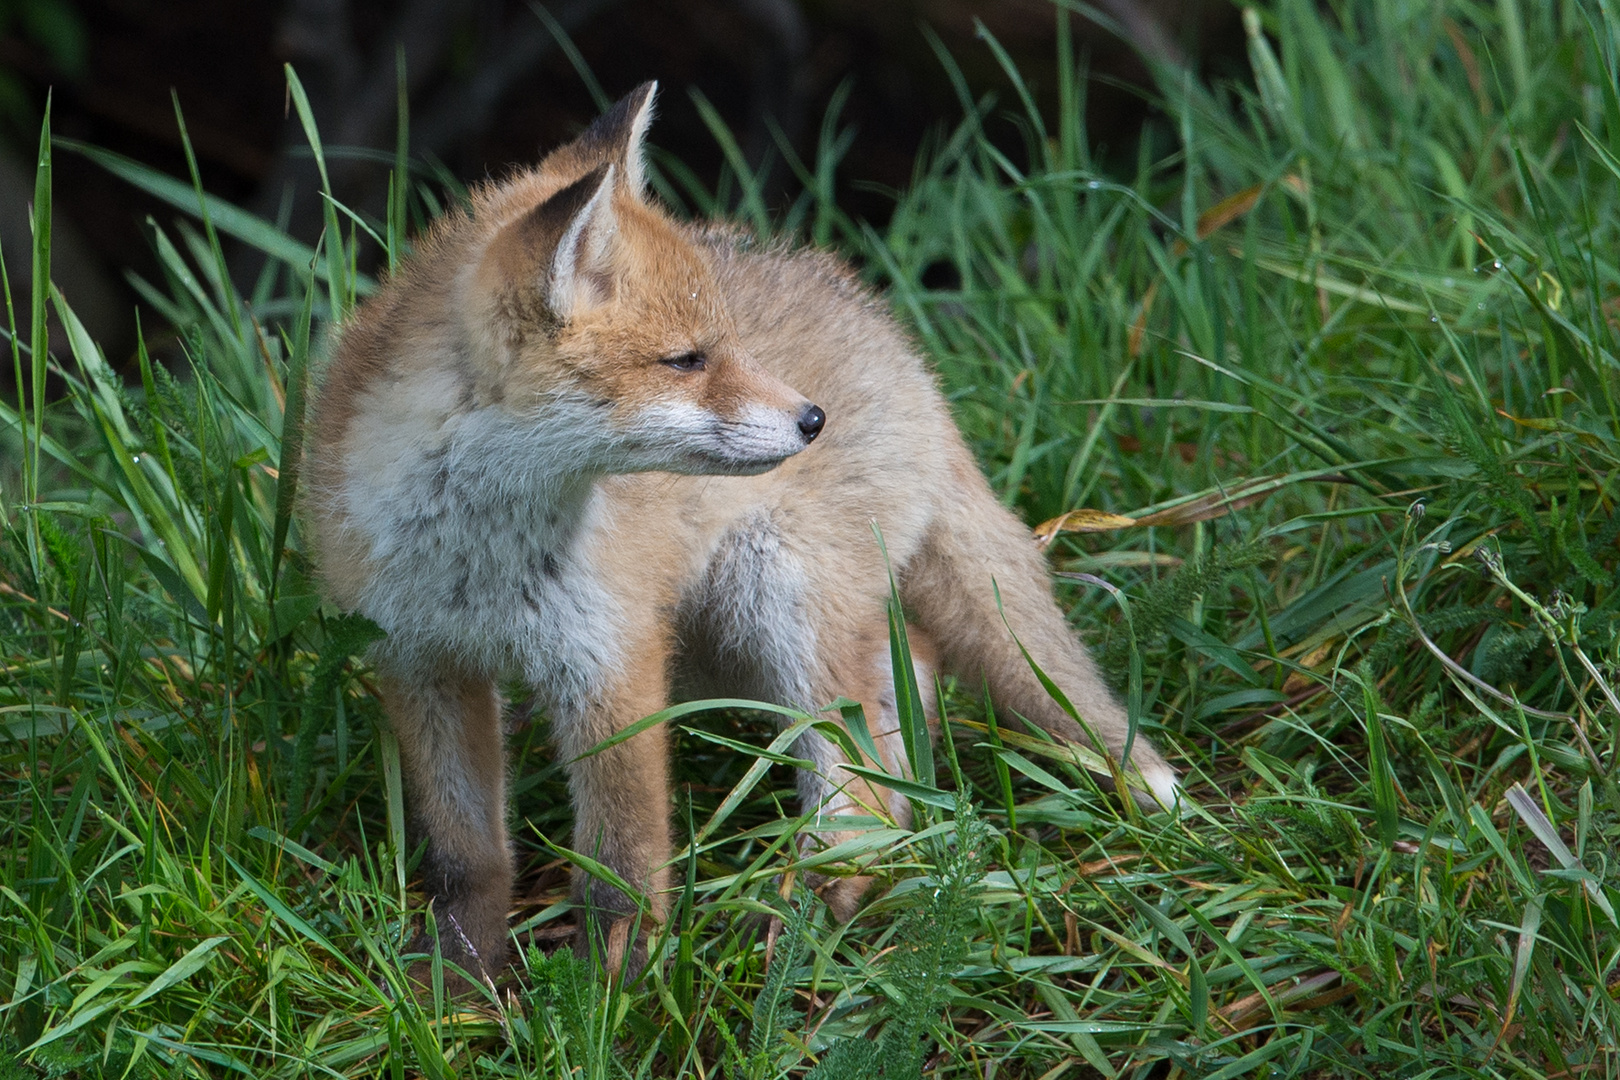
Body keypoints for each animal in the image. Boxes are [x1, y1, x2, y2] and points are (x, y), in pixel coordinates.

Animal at [305, 81, 1180, 985]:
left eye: (726, 344)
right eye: (687, 360)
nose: (812, 421)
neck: (476, 552)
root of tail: (899, 342)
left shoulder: (610, 659)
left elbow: (621, 861)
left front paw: (612, 987)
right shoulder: (418, 662)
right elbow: (467, 852)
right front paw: (456, 975)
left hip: (769, 597)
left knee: (862, 779)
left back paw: (804, 910)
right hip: (718, 643)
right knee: (906, 696)